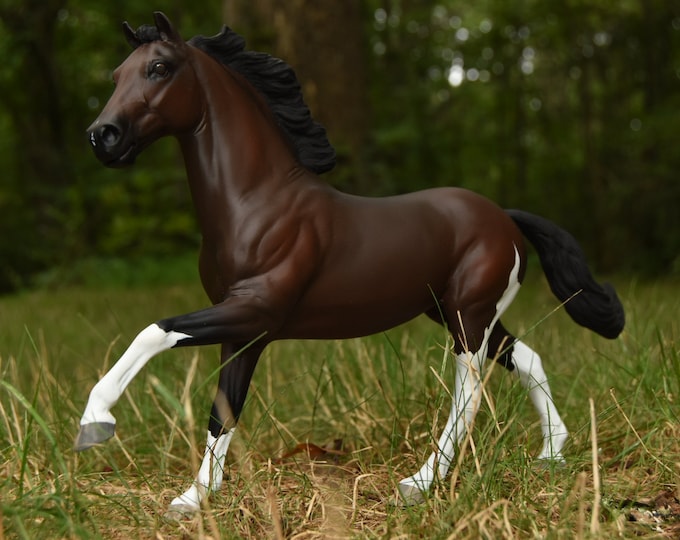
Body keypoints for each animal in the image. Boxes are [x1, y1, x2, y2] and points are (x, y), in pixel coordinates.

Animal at [76, 12, 624, 514]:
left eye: (160, 68)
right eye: (116, 75)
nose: (102, 137)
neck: (257, 203)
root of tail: (505, 218)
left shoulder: (255, 311)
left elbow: (155, 331)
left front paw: (95, 423)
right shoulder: (243, 332)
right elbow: (224, 411)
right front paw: (194, 498)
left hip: (467, 317)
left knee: (467, 394)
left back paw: (418, 485)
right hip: (463, 314)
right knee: (523, 357)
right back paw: (551, 454)